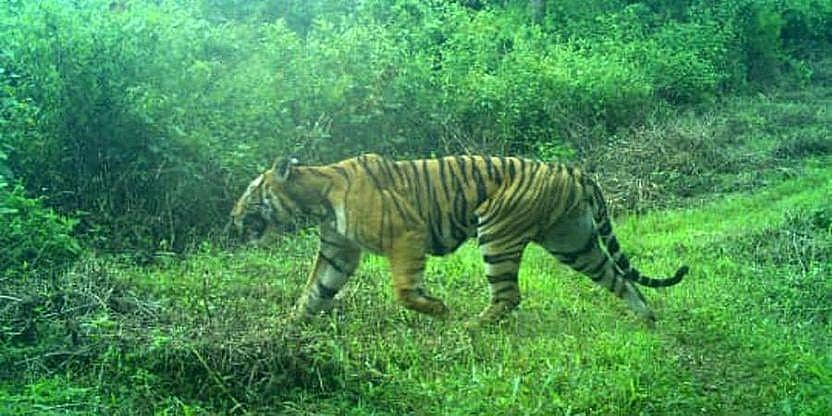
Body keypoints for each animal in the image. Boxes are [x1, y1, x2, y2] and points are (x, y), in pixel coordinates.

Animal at [229, 154, 688, 326]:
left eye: (251, 192)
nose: (231, 218)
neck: (318, 201)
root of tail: (570, 169)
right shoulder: (337, 251)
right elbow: (314, 293)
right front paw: (287, 330)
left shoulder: (407, 235)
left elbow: (404, 290)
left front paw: (439, 309)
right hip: (573, 241)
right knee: (618, 278)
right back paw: (647, 319)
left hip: (497, 233)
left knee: (508, 296)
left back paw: (470, 326)